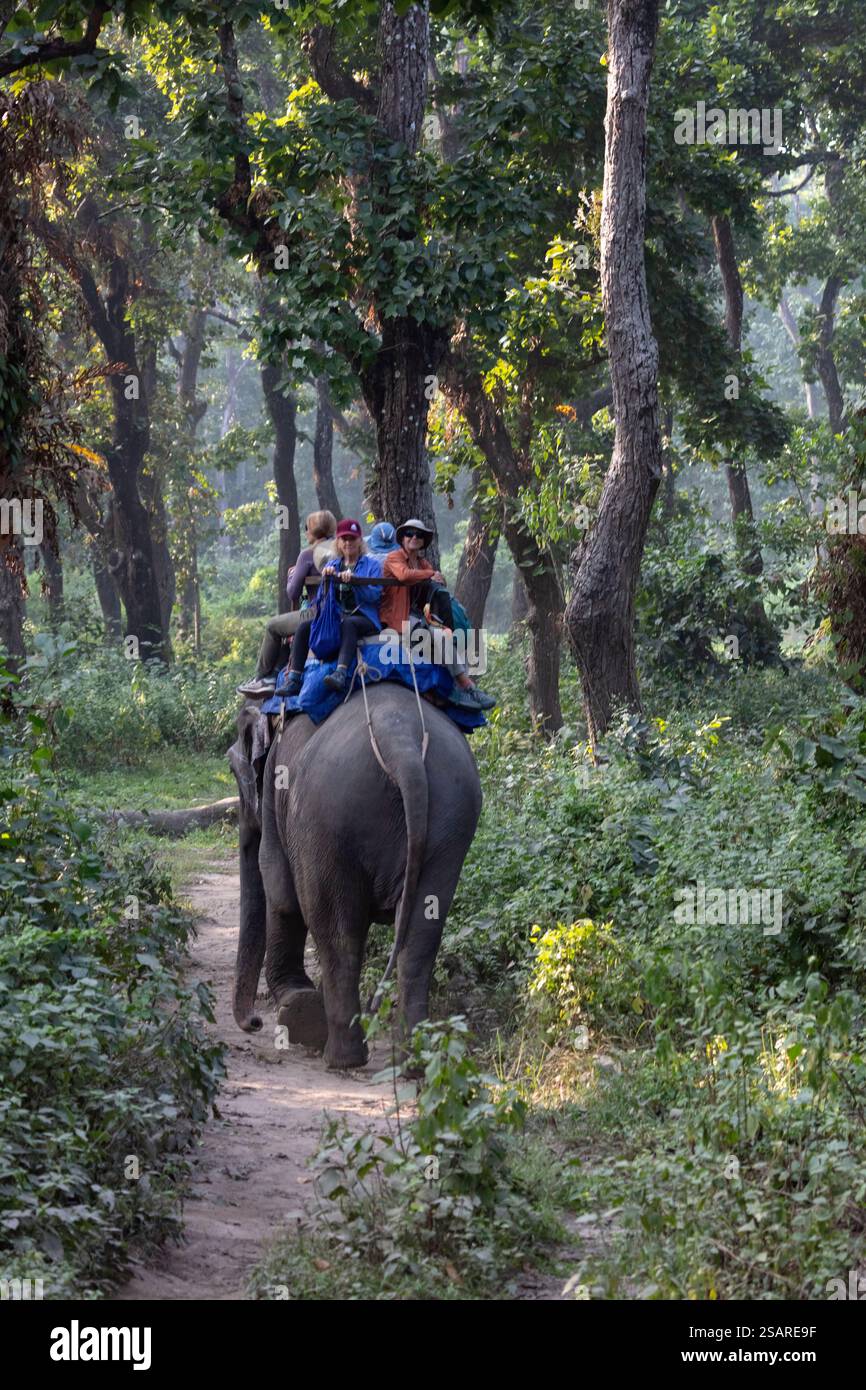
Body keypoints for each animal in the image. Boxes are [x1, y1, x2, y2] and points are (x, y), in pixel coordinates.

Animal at [227, 683, 482, 1070]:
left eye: (233, 771)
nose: (254, 1022)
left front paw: (293, 1003)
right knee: (422, 934)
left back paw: (340, 1057)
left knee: (337, 931)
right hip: (451, 821)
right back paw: (412, 1063)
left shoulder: (275, 779)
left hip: (327, 822)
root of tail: (401, 742)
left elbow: (279, 886)